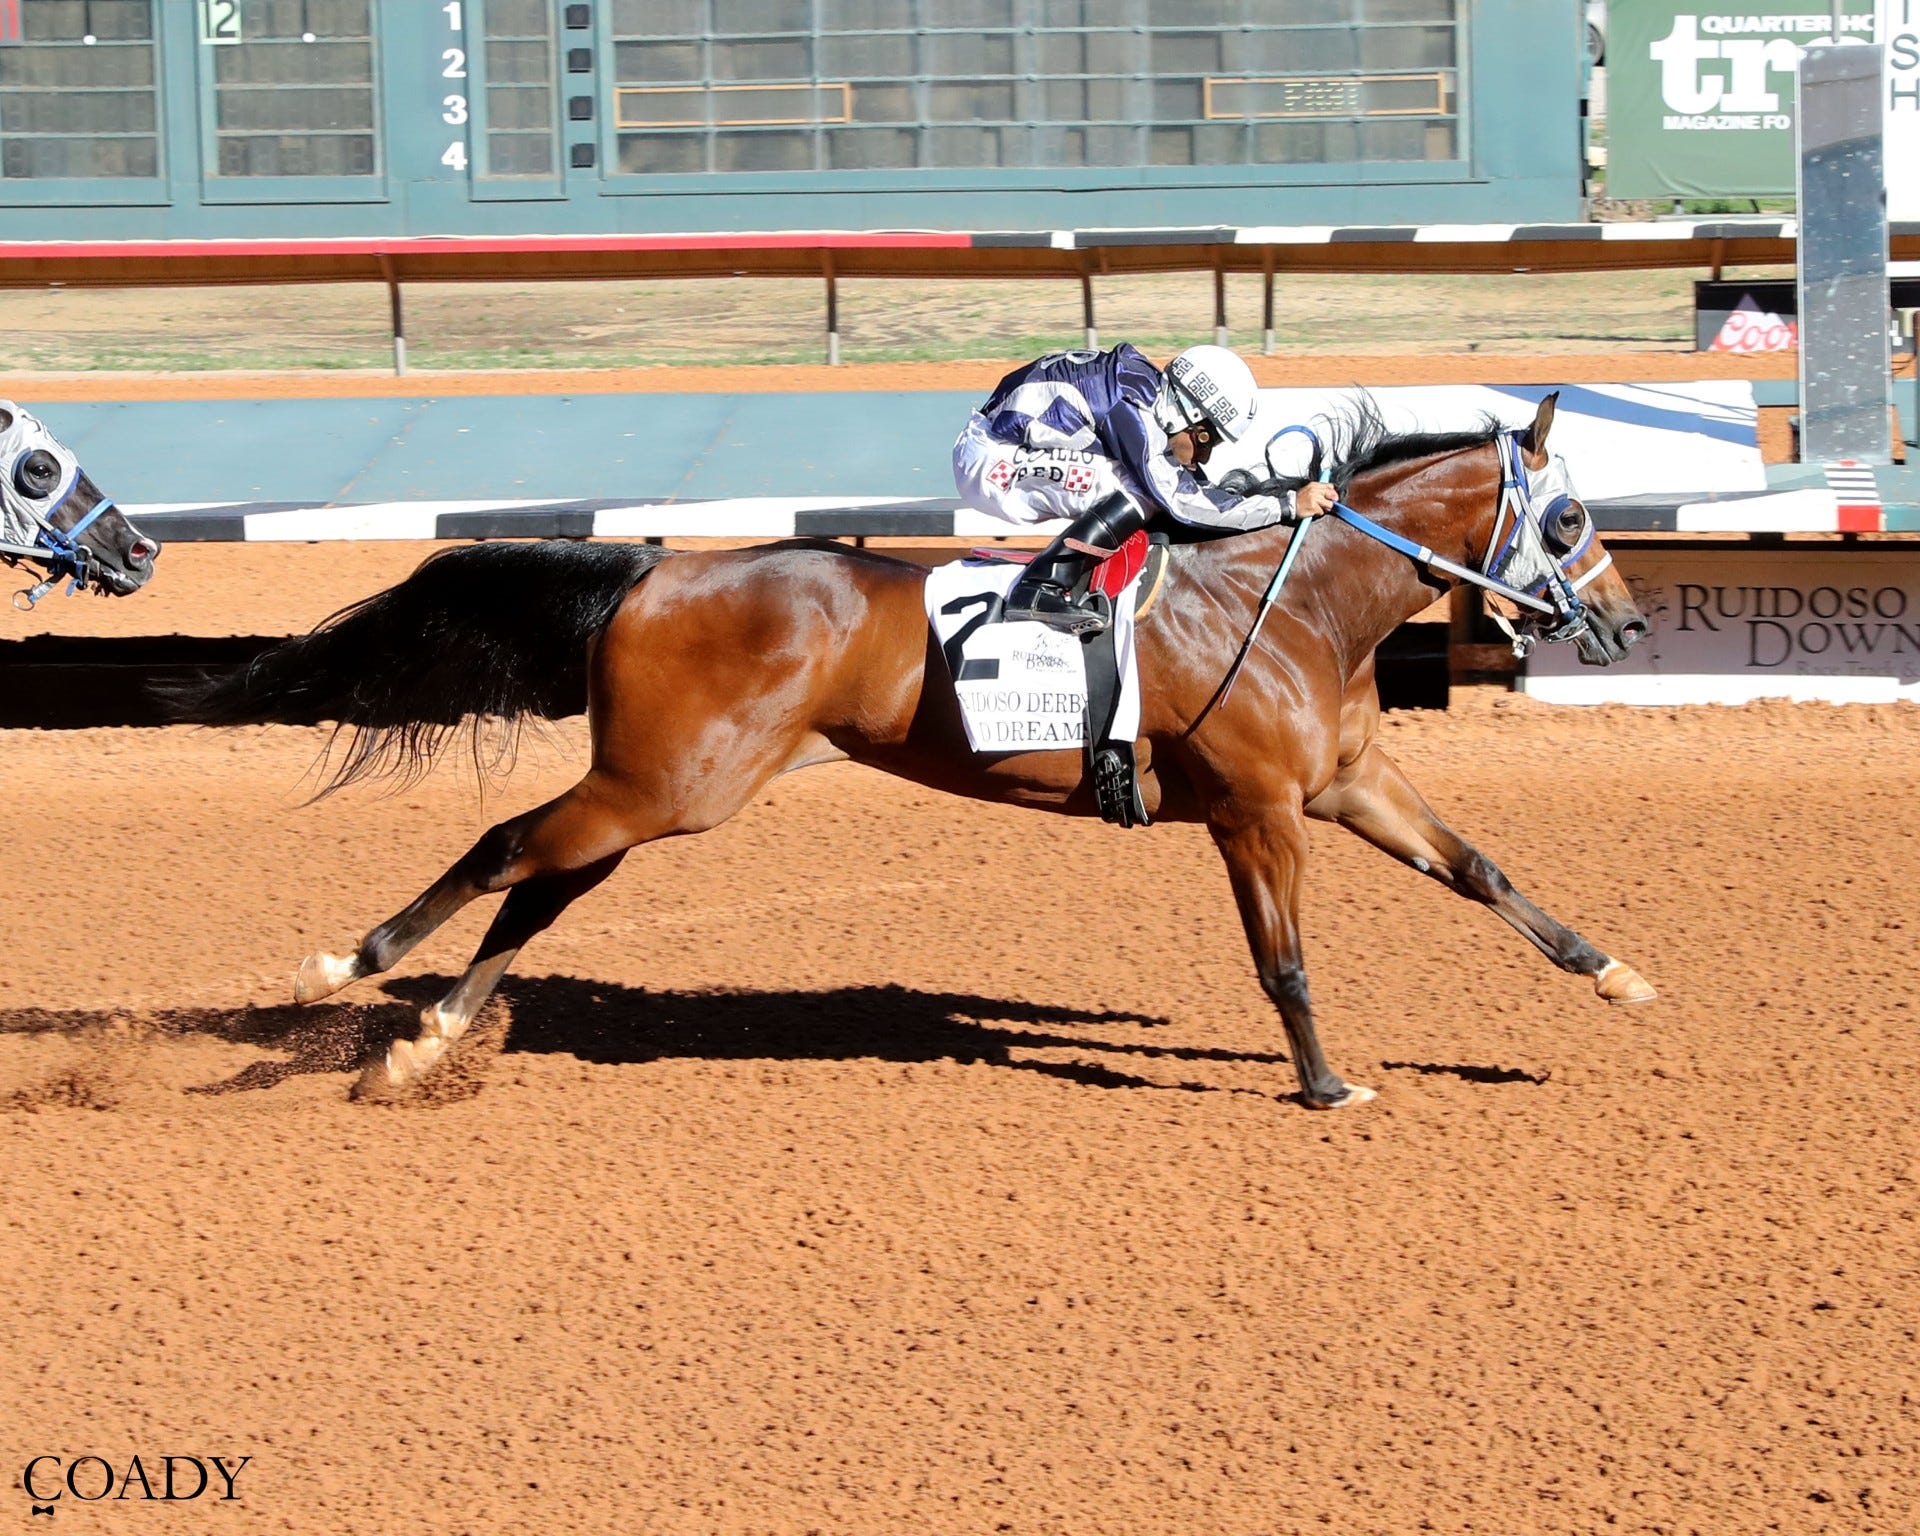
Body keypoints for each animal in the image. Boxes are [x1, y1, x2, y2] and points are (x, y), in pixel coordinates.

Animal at [171, 392, 1653, 1109]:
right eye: (1571, 516)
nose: (1631, 623)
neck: (1292, 605)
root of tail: (656, 565)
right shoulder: (1257, 814)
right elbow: (1283, 961)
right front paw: (1327, 1084)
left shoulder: (1345, 784)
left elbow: (1485, 874)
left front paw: (1619, 975)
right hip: (665, 786)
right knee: (500, 852)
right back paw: (346, 970)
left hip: (659, 789)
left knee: (537, 889)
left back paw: (421, 1043)